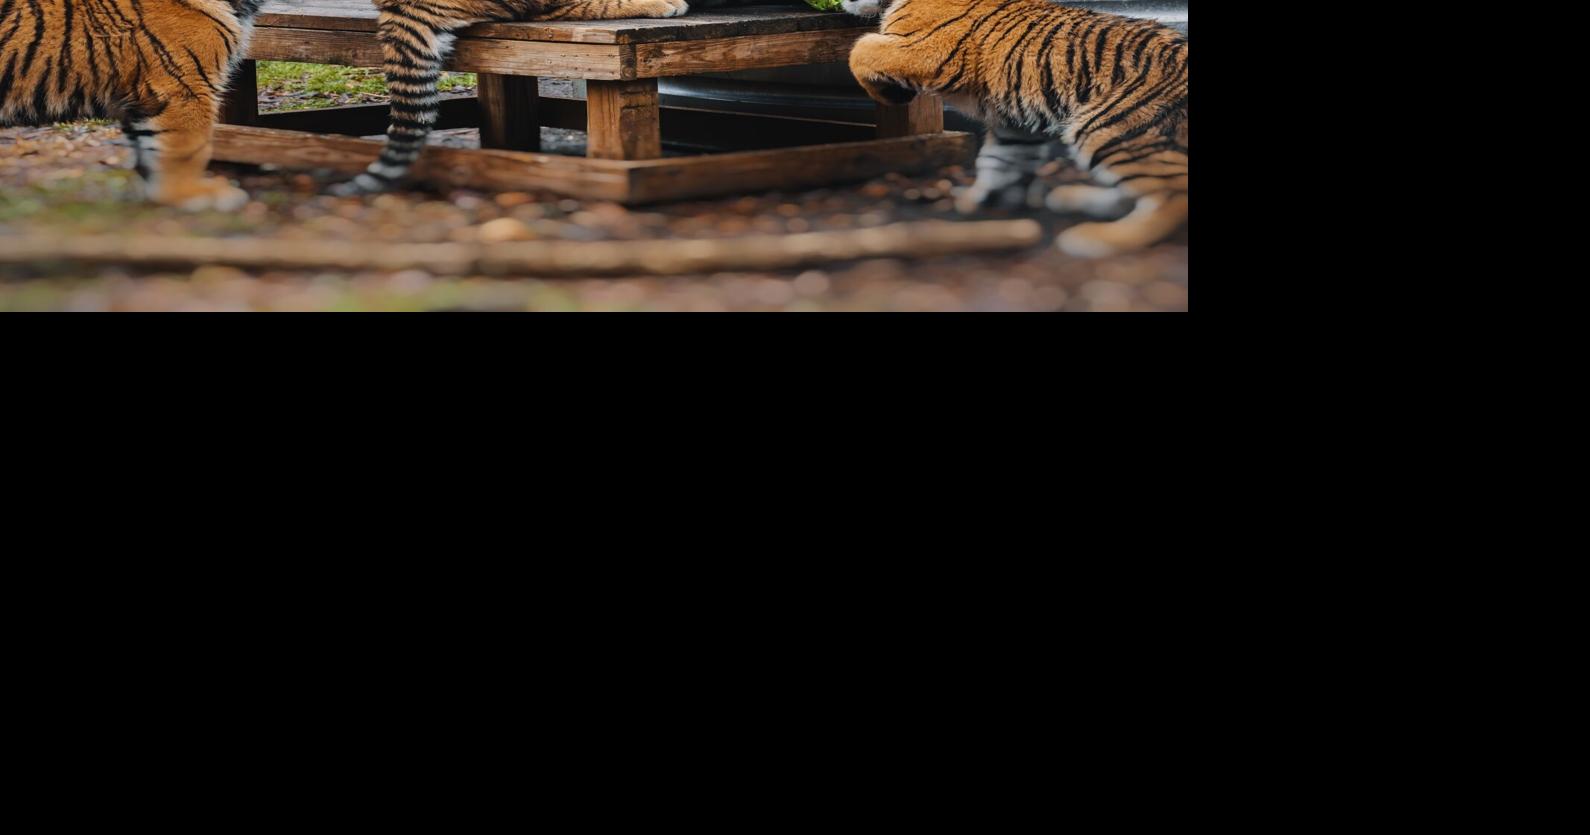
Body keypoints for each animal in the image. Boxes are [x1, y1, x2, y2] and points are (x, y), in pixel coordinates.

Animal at [843, 0, 1187, 257]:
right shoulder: (1014, 127)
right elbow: (1000, 162)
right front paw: (980, 202)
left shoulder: (927, 50)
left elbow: (861, 48)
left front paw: (887, 93)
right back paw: (1070, 197)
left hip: (1108, 125)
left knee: (1173, 192)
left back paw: (1097, 238)